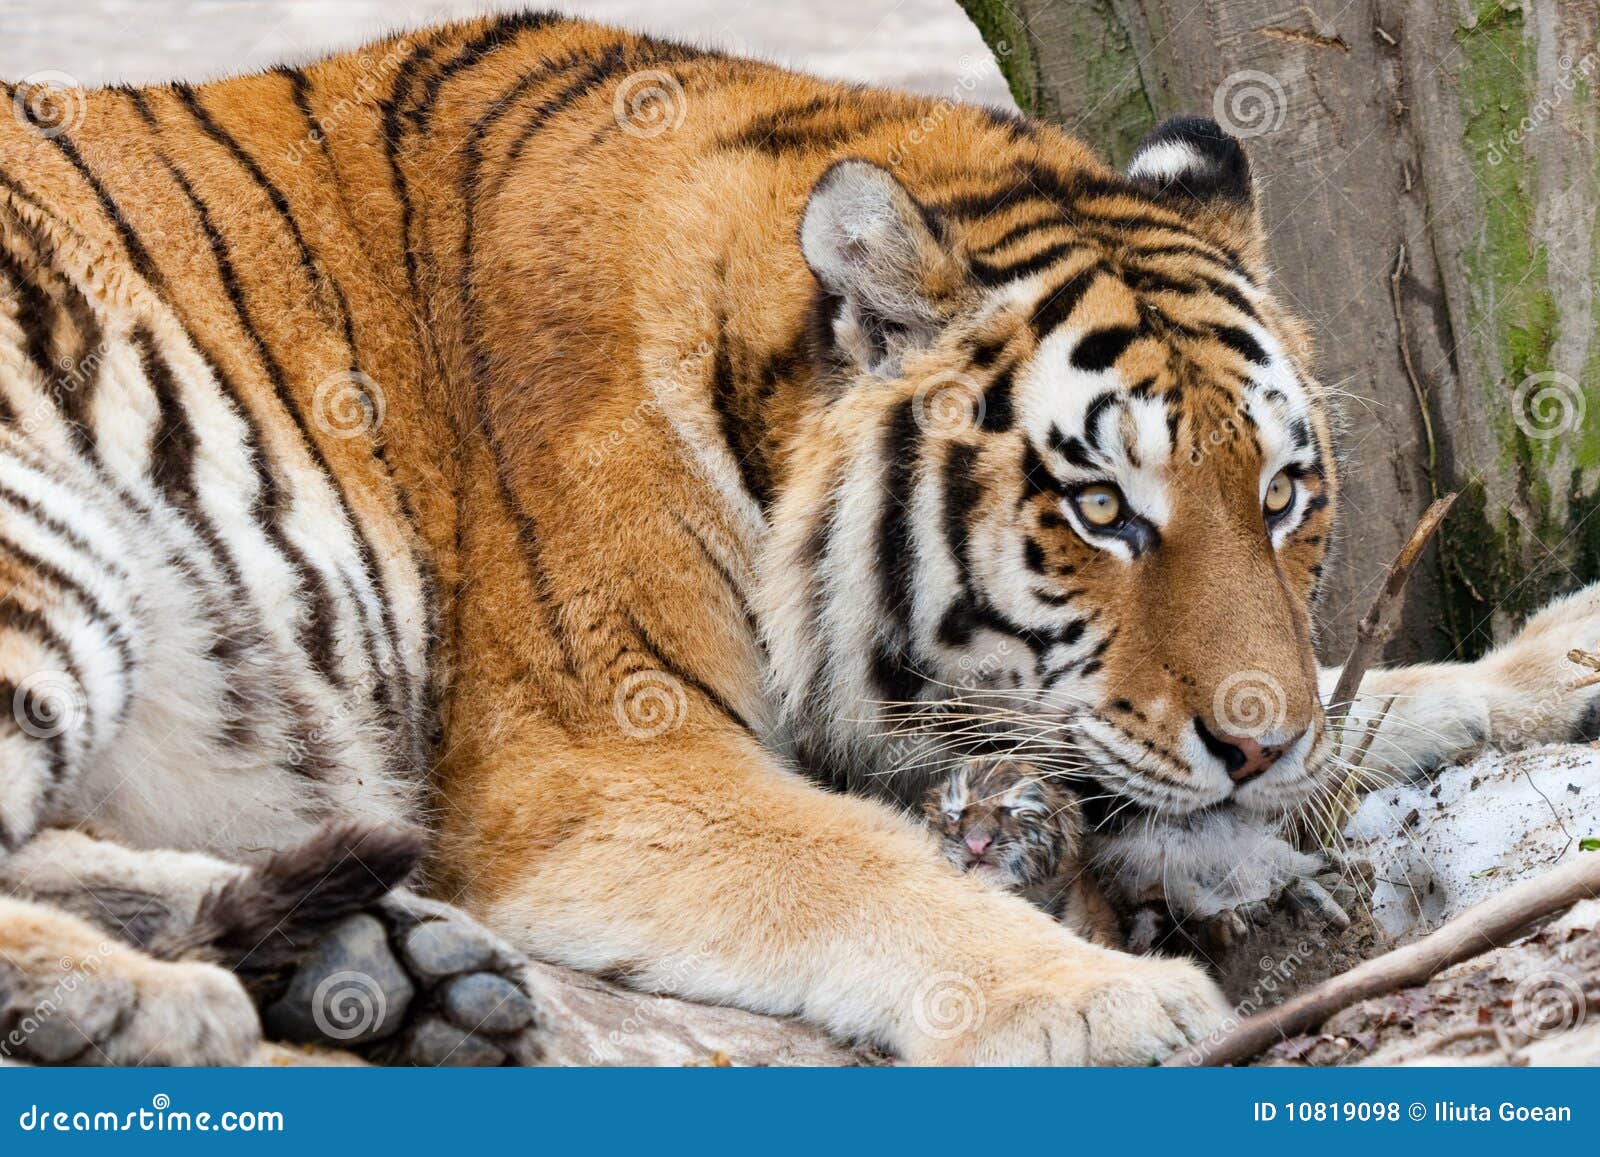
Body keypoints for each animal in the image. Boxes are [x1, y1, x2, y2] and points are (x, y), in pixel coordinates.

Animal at [2, 10, 1598, 1067]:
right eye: (1100, 509)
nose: (1255, 752)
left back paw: (386, 957)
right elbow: (854, 862)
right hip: (53, 540)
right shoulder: (605, 764)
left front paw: (1554, 662)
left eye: (1279, 496)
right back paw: (158, 996)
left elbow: (1359, 692)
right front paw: (1102, 1000)